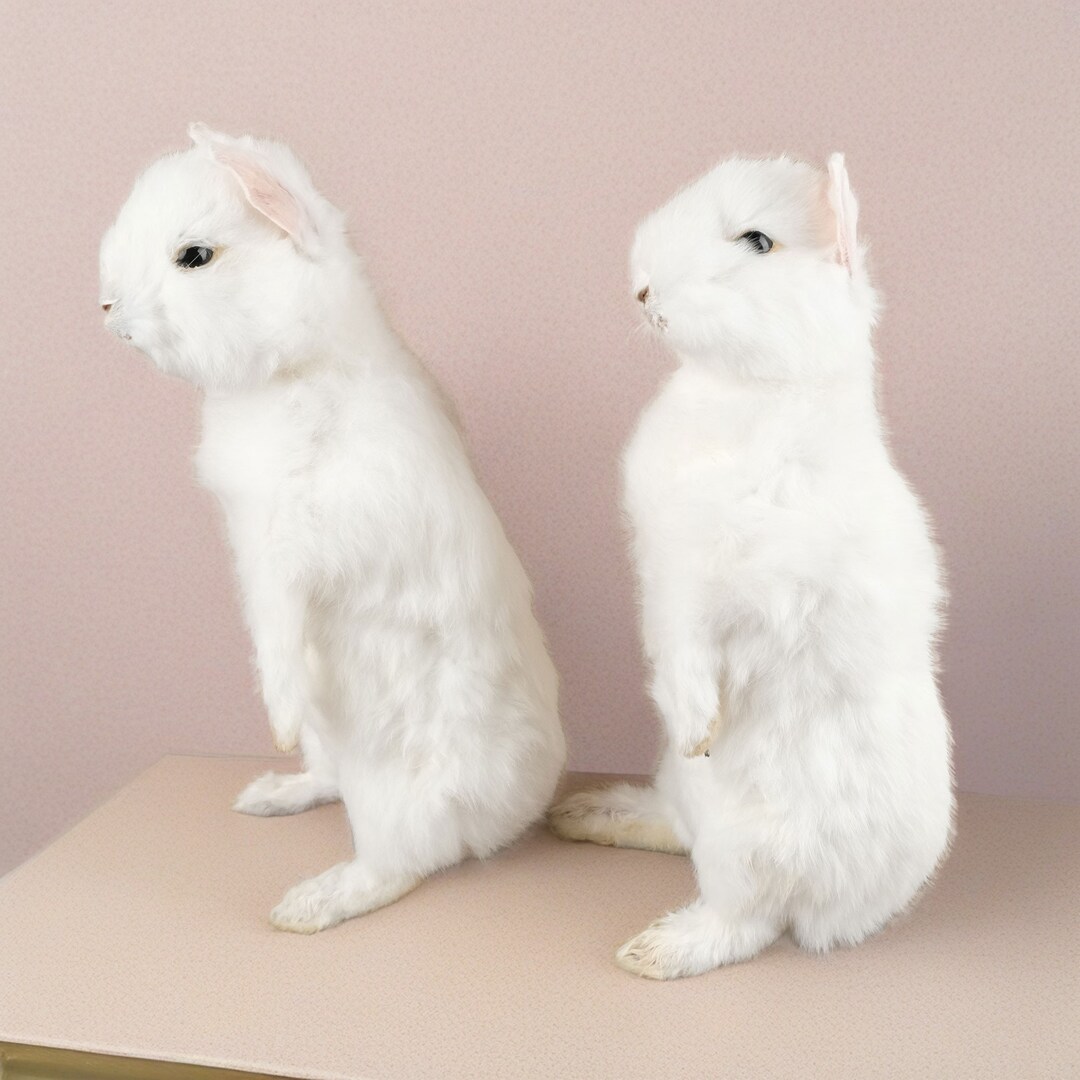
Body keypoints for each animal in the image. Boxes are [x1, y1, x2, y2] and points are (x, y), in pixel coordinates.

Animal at [99, 124, 566, 932]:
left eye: (195, 256)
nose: (109, 311)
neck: (296, 367)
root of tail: (518, 811)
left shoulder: (295, 551)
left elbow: (281, 635)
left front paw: (275, 716)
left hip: (392, 800)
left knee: (399, 865)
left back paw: (310, 903)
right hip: (334, 745)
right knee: (329, 781)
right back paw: (269, 796)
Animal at [549, 153, 954, 978]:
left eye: (758, 241)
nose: (643, 287)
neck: (750, 391)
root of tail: (856, 911)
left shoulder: (736, 588)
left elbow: (693, 654)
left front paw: (699, 726)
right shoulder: (669, 579)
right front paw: (691, 729)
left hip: (753, 852)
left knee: (747, 923)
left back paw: (654, 950)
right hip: (691, 805)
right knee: (675, 830)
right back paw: (588, 812)